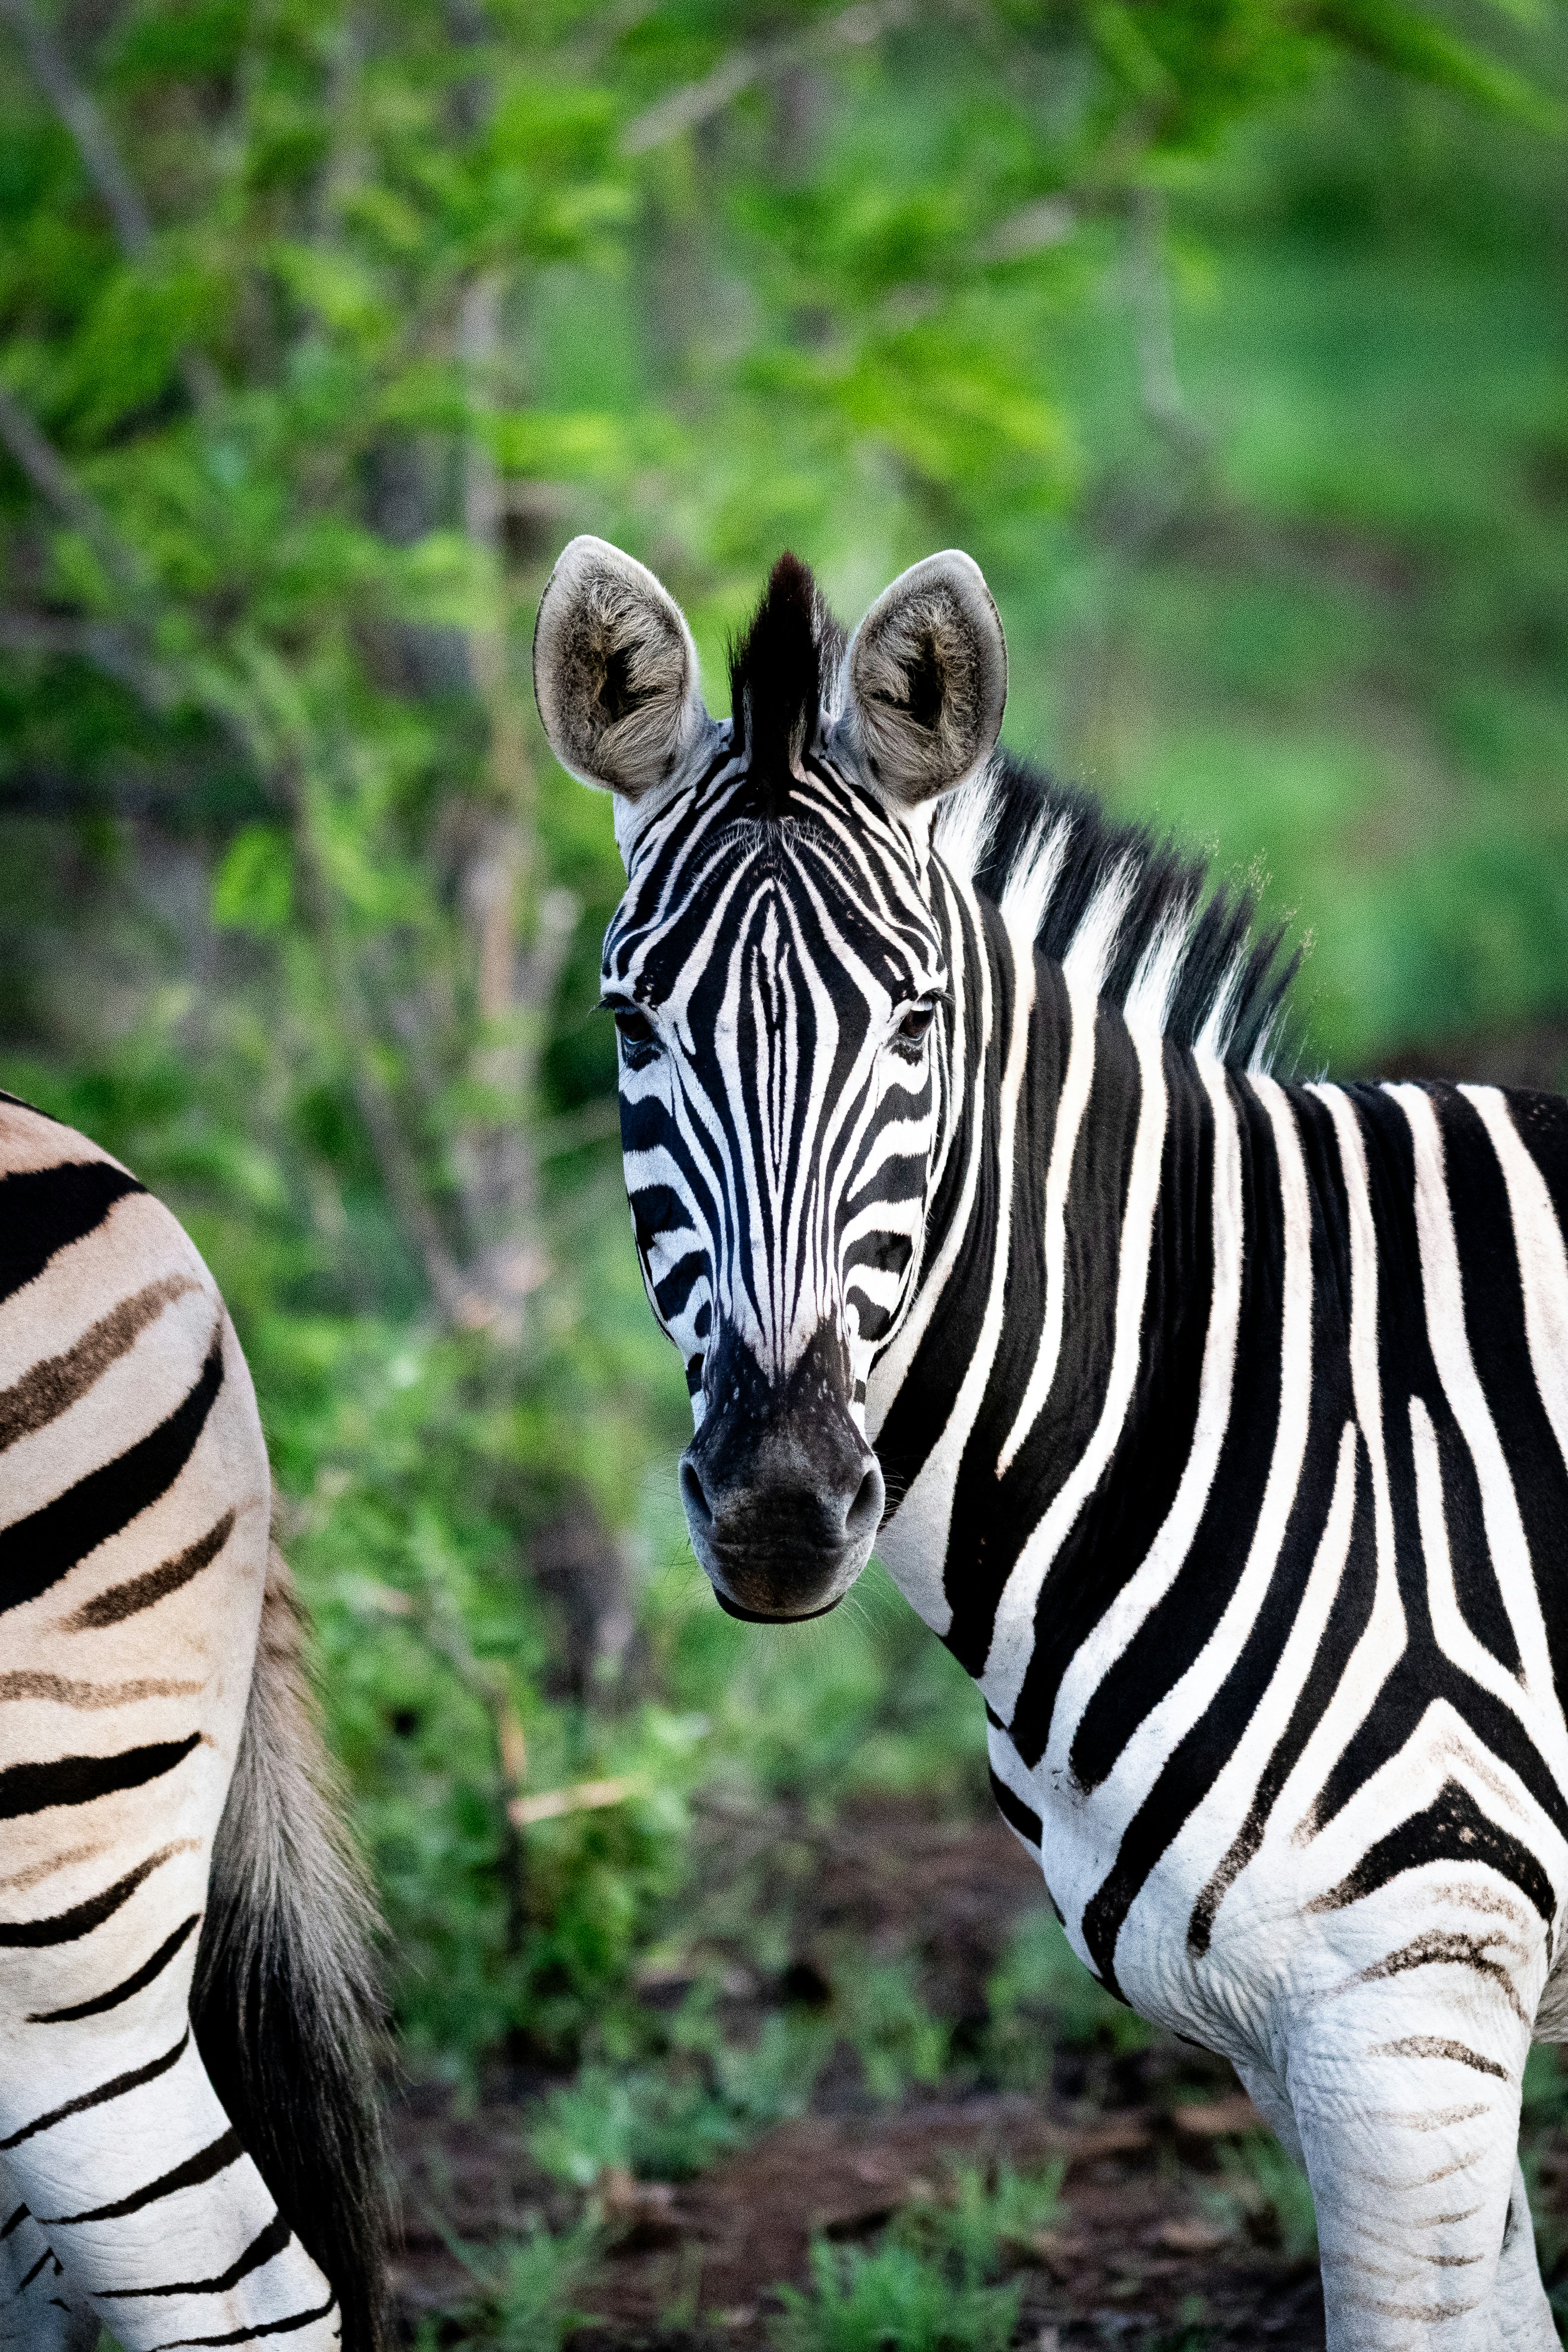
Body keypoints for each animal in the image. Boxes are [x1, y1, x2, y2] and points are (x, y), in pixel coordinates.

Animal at [534, 533, 1568, 2351]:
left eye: (916, 1026)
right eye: (634, 1025)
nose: (779, 1508)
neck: (1255, 1401)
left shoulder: (1413, 2012)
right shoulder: (1331, 2041)